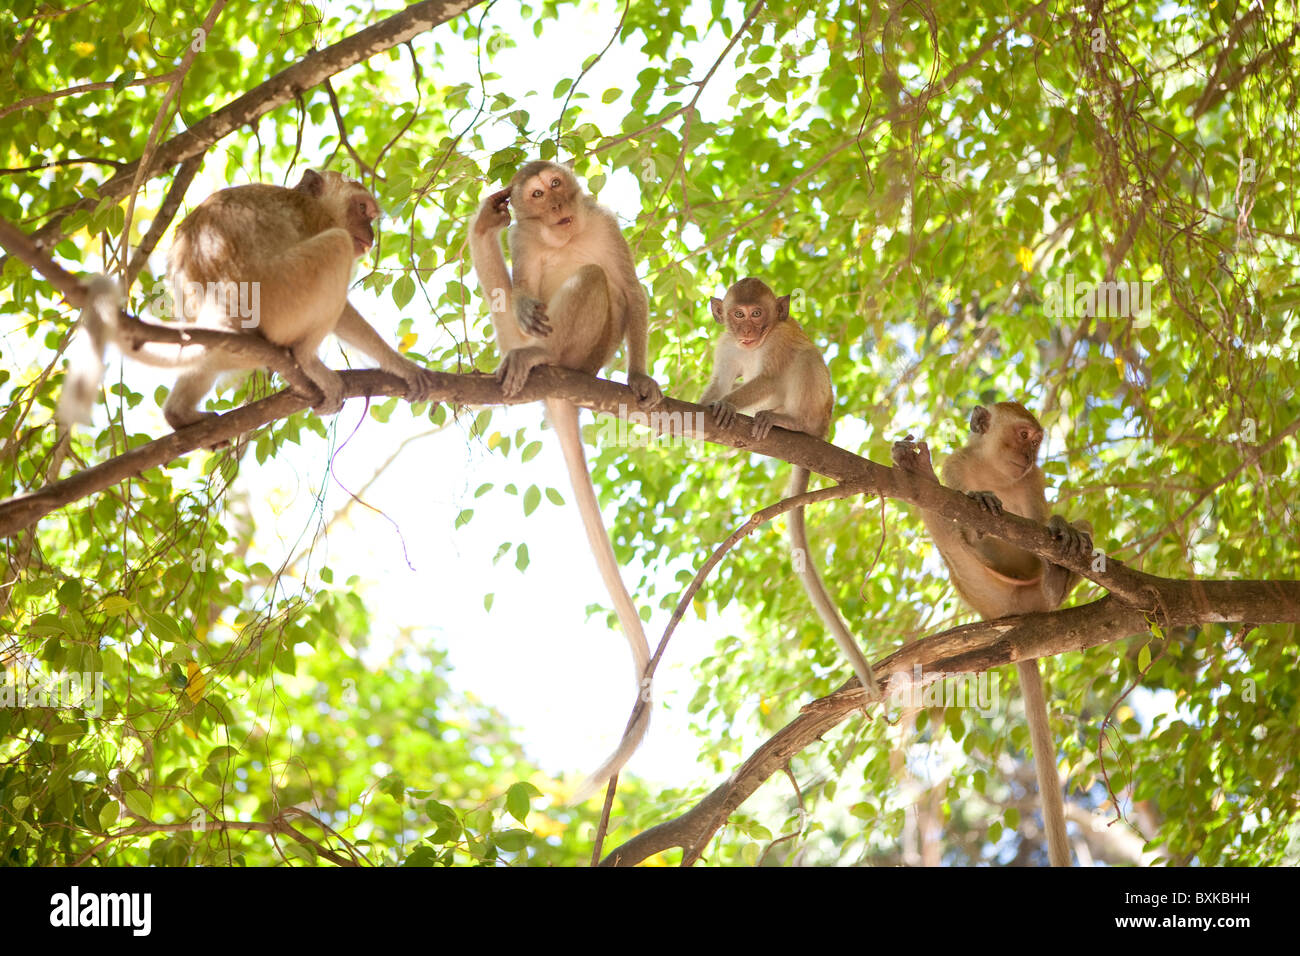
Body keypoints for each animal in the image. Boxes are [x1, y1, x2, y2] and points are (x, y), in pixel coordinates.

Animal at [57, 169, 436, 430]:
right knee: (338, 247)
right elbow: (343, 310)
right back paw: (306, 359)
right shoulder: (316, 221)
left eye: (370, 215)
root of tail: (220, 308)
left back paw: (179, 414)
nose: (371, 235)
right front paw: (399, 364)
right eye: (361, 208)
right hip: (282, 295)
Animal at [468, 160, 662, 801]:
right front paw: (497, 234)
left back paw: (552, 362)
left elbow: (631, 289)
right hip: (513, 339)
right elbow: (521, 280)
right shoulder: (525, 243)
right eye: (536, 194)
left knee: (595, 281)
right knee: (519, 310)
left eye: (556, 184)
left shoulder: (605, 223)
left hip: (586, 353)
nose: (554, 204)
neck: (562, 237)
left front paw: (640, 376)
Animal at [700, 277, 880, 698]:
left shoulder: (778, 339)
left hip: (817, 408)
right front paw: (702, 404)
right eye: (738, 314)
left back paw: (793, 423)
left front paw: (725, 405)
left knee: (806, 359)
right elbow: (722, 379)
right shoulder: (726, 346)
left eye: (758, 313)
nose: (749, 331)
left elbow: (767, 376)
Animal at [891, 401, 1093, 867]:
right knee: (944, 529)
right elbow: (952, 494)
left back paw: (1057, 575)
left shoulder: (1033, 480)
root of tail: (1022, 613)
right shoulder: (958, 464)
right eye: (1023, 436)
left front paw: (1061, 525)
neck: (995, 471)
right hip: (984, 593)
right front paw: (976, 497)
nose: (1030, 455)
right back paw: (937, 493)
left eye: (1037, 441)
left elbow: (1045, 518)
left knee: (1080, 535)